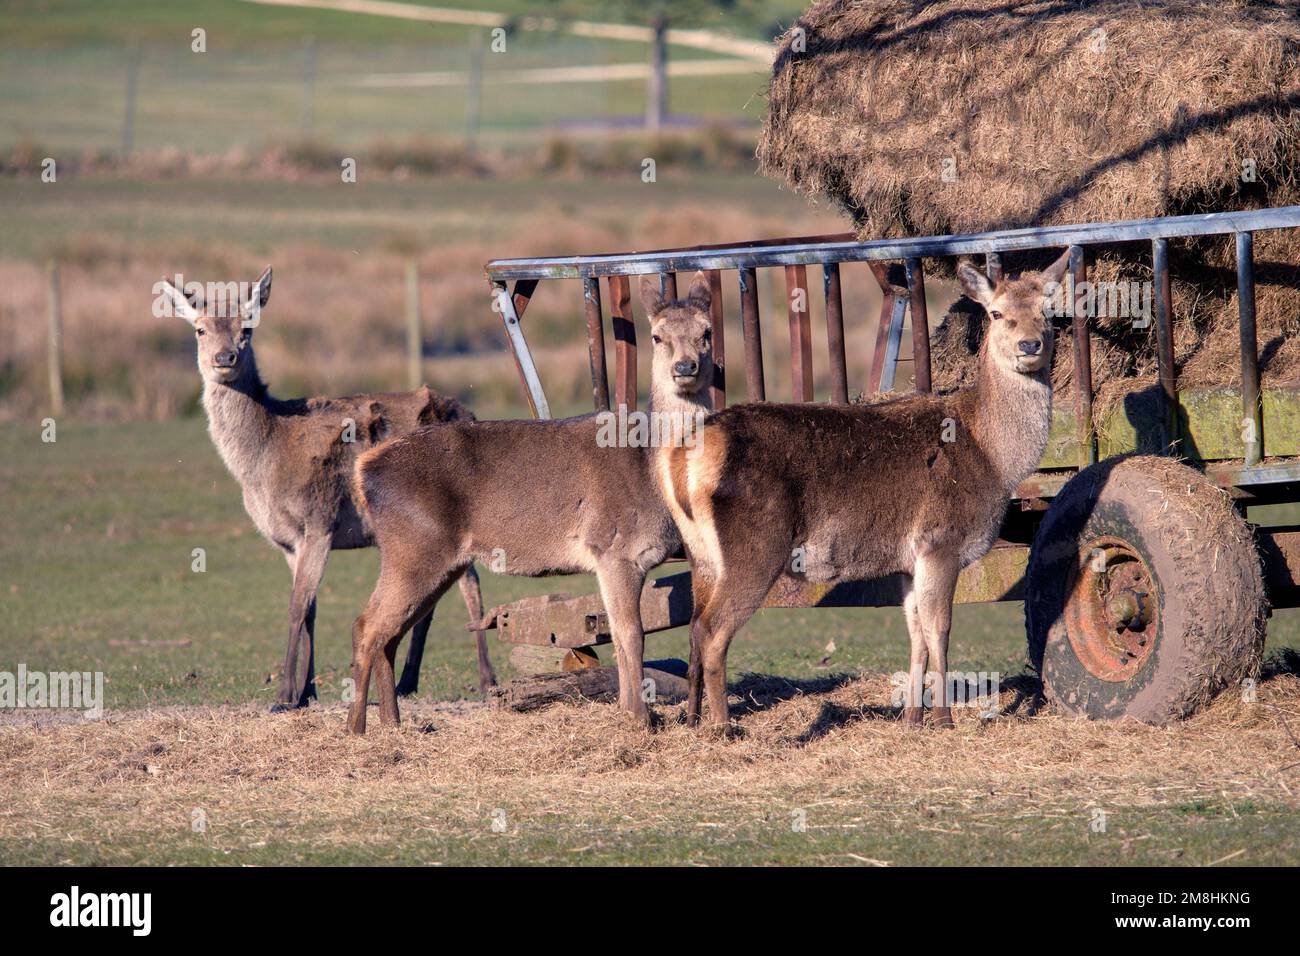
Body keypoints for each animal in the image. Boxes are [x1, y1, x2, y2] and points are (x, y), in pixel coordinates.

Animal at [158, 267, 496, 712]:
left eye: (246, 328)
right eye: (200, 329)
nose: (225, 358)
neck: (263, 460)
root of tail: (469, 412)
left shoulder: (319, 522)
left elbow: (295, 607)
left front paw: (283, 695)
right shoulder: (287, 540)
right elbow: (311, 612)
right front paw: (307, 692)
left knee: (470, 585)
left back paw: (487, 680)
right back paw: (408, 681)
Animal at [345, 271, 717, 734]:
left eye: (707, 332)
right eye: (657, 335)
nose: (686, 367)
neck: (651, 470)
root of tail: (363, 470)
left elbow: (620, 632)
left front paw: (630, 712)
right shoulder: (613, 547)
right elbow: (631, 634)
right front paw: (638, 718)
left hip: (437, 561)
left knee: (389, 634)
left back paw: (393, 724)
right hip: (413, 548)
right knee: (365, 627)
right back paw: (356, 730)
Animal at [659, 250, 1070, 731]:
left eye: (1048, 309)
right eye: (996, 313)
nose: (1030, 345)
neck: (992, 458)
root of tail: (680, 456)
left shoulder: (909, 561)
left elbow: (916, 633)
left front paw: (912, 717)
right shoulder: (941, 541)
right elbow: (940, 630)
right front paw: (944, 719)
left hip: (701, 553)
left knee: (693, 626)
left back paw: (691, 720)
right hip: (755, 546)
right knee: (712, 629)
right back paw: (725, 727)